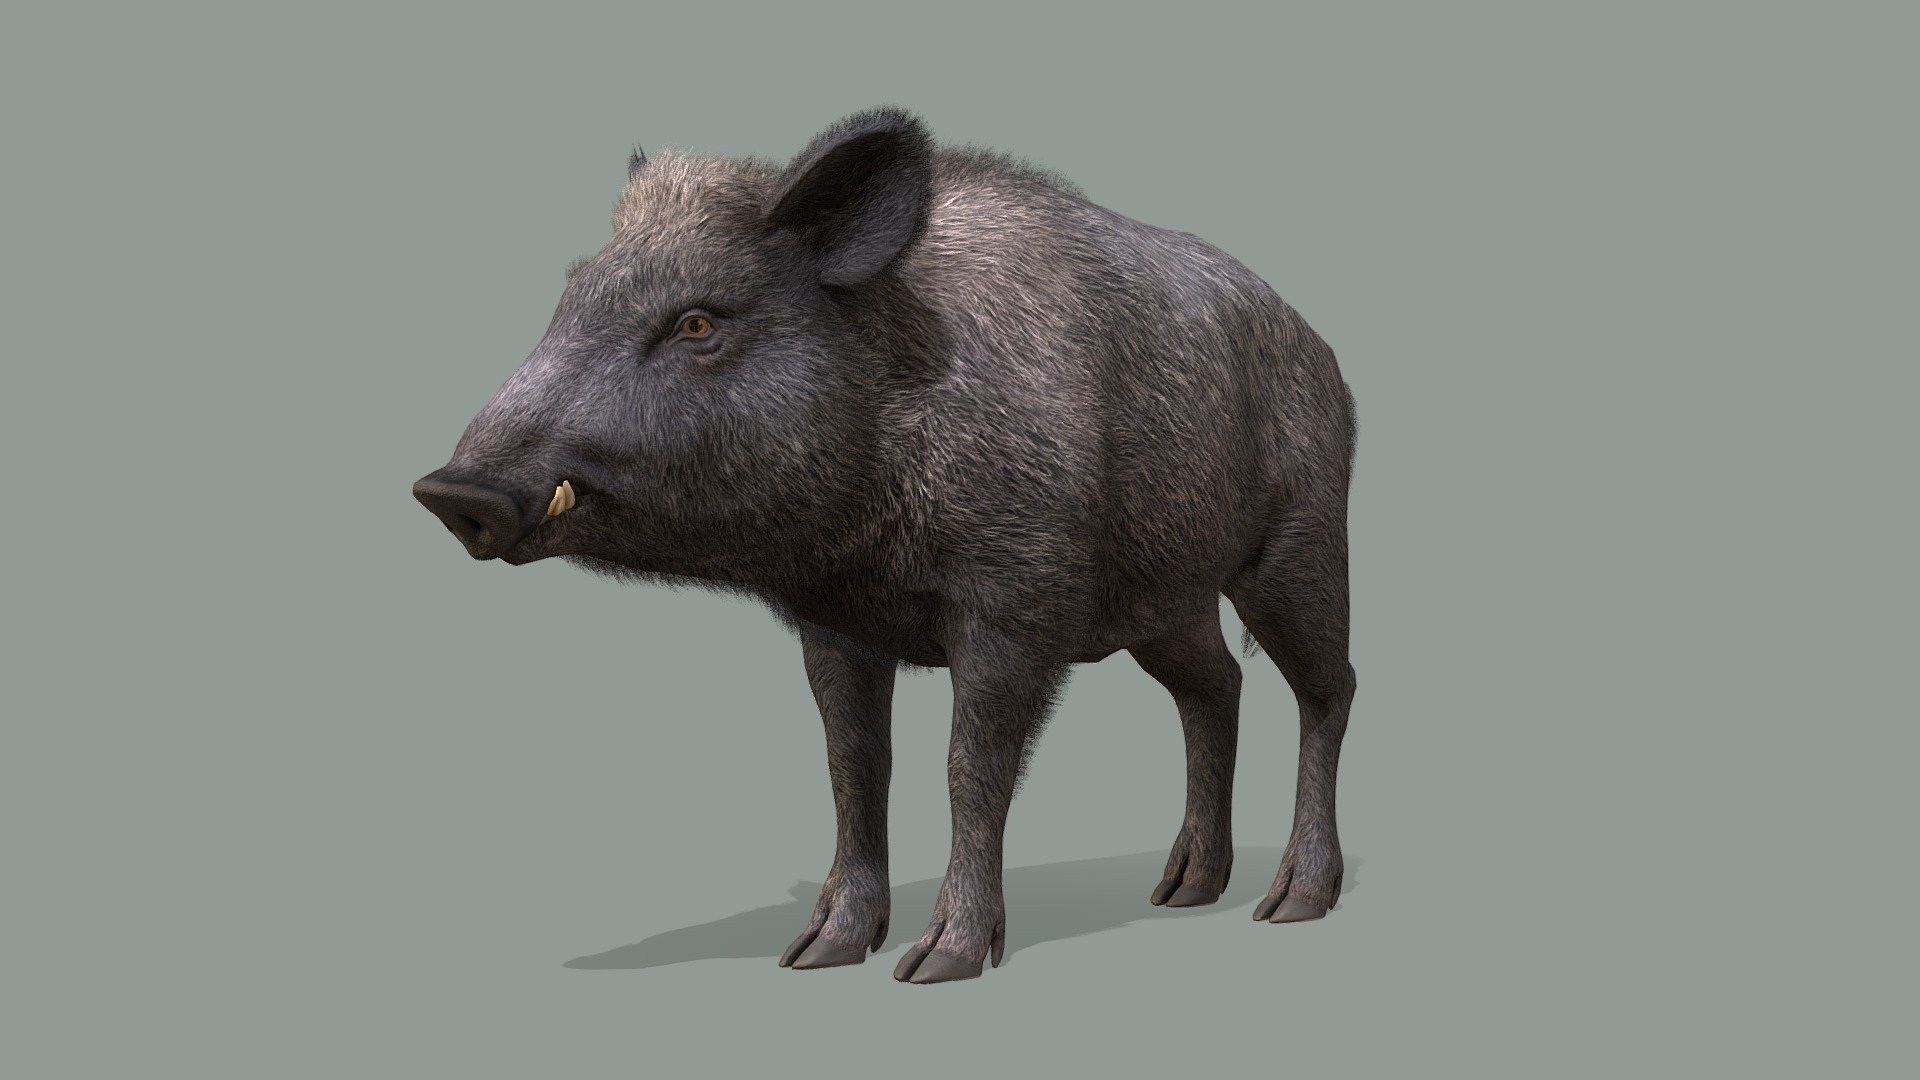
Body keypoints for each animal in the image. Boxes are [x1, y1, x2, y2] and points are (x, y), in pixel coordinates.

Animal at [413, 106, 1358, 984]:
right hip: (1165, 601)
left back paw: (1293, 902)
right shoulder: (833, 625)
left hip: (1301, 546)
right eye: (568, 301)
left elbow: (970, 767)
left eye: (696, 324)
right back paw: (1183, 890)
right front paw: (815, 954)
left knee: (1328, 688)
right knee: (1218, 686)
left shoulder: (1014, 602)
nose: (450, 490)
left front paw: (936, 963)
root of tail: (1325, 355)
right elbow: (855, 766)